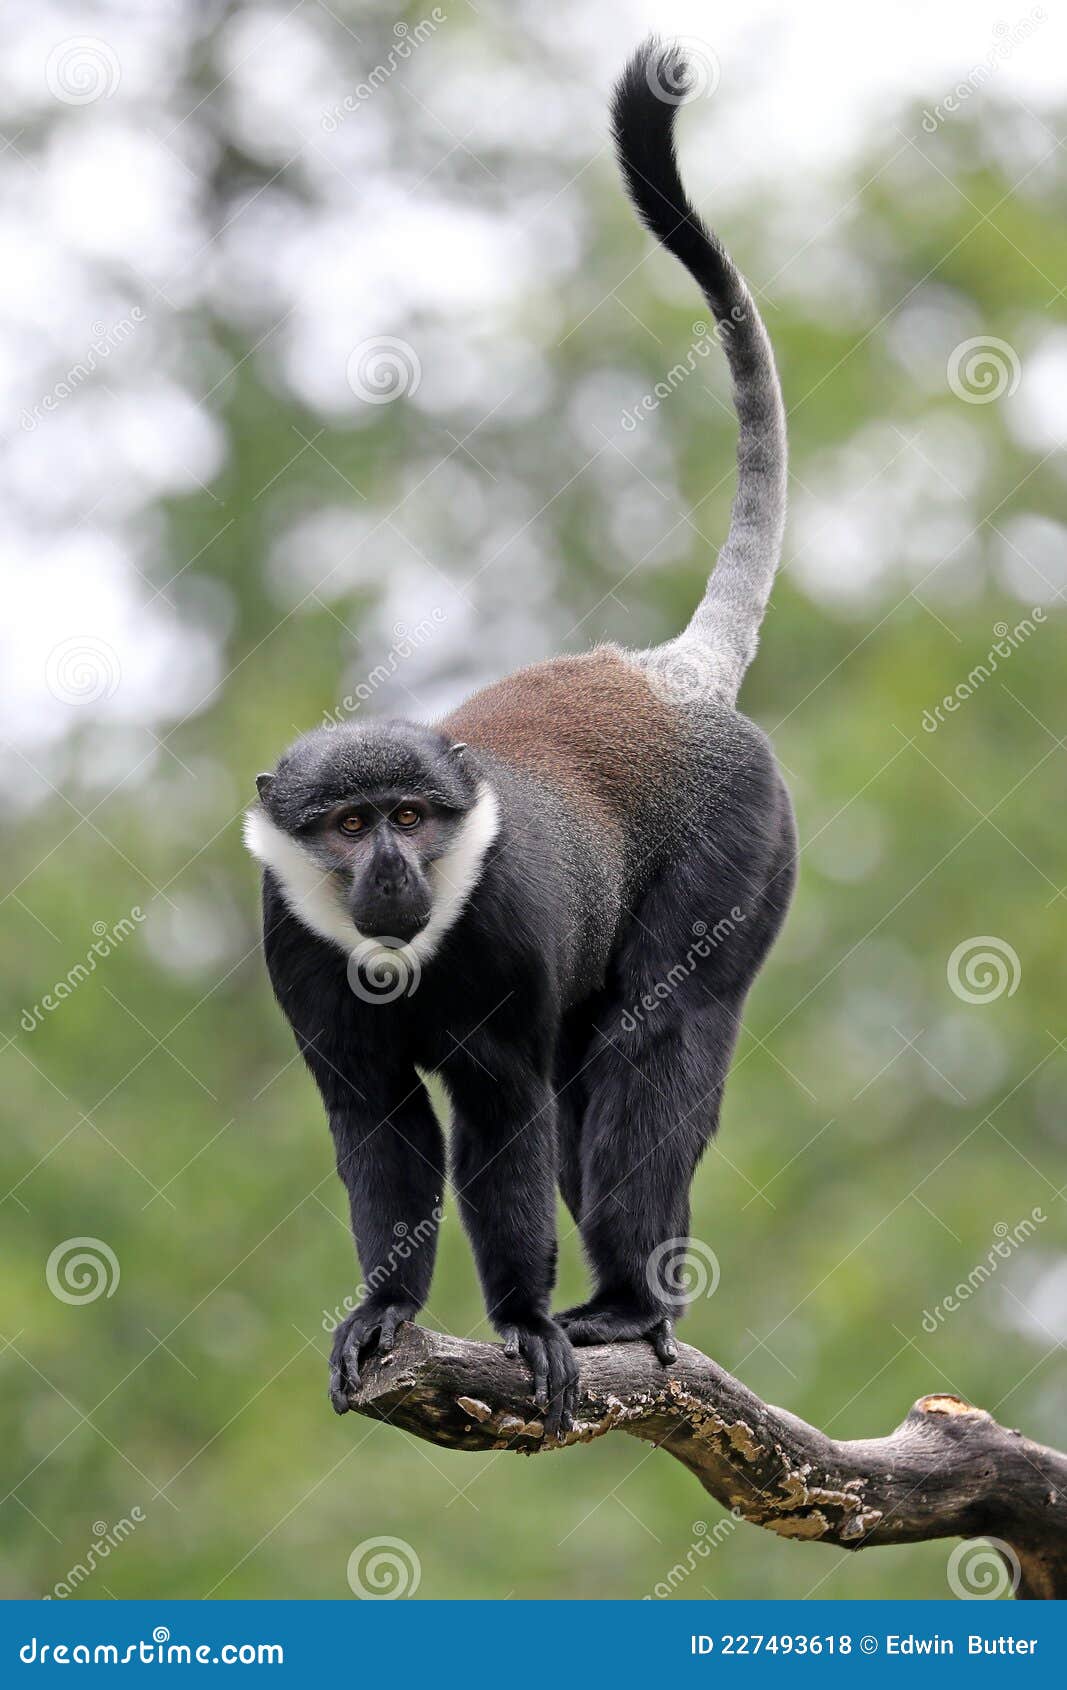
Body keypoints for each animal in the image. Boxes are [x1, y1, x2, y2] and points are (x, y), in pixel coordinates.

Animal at [245, 38, 796, 1438]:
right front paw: (386, 1314)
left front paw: (523, 1322)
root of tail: (661, 674)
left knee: (652, 1049)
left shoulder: (502, 937)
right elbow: (379, 1129)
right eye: (346, 825)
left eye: (414, 817)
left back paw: (624, 1304)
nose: (391, 871)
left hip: (742, 847)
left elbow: (503, 1118)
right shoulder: (298, 956)